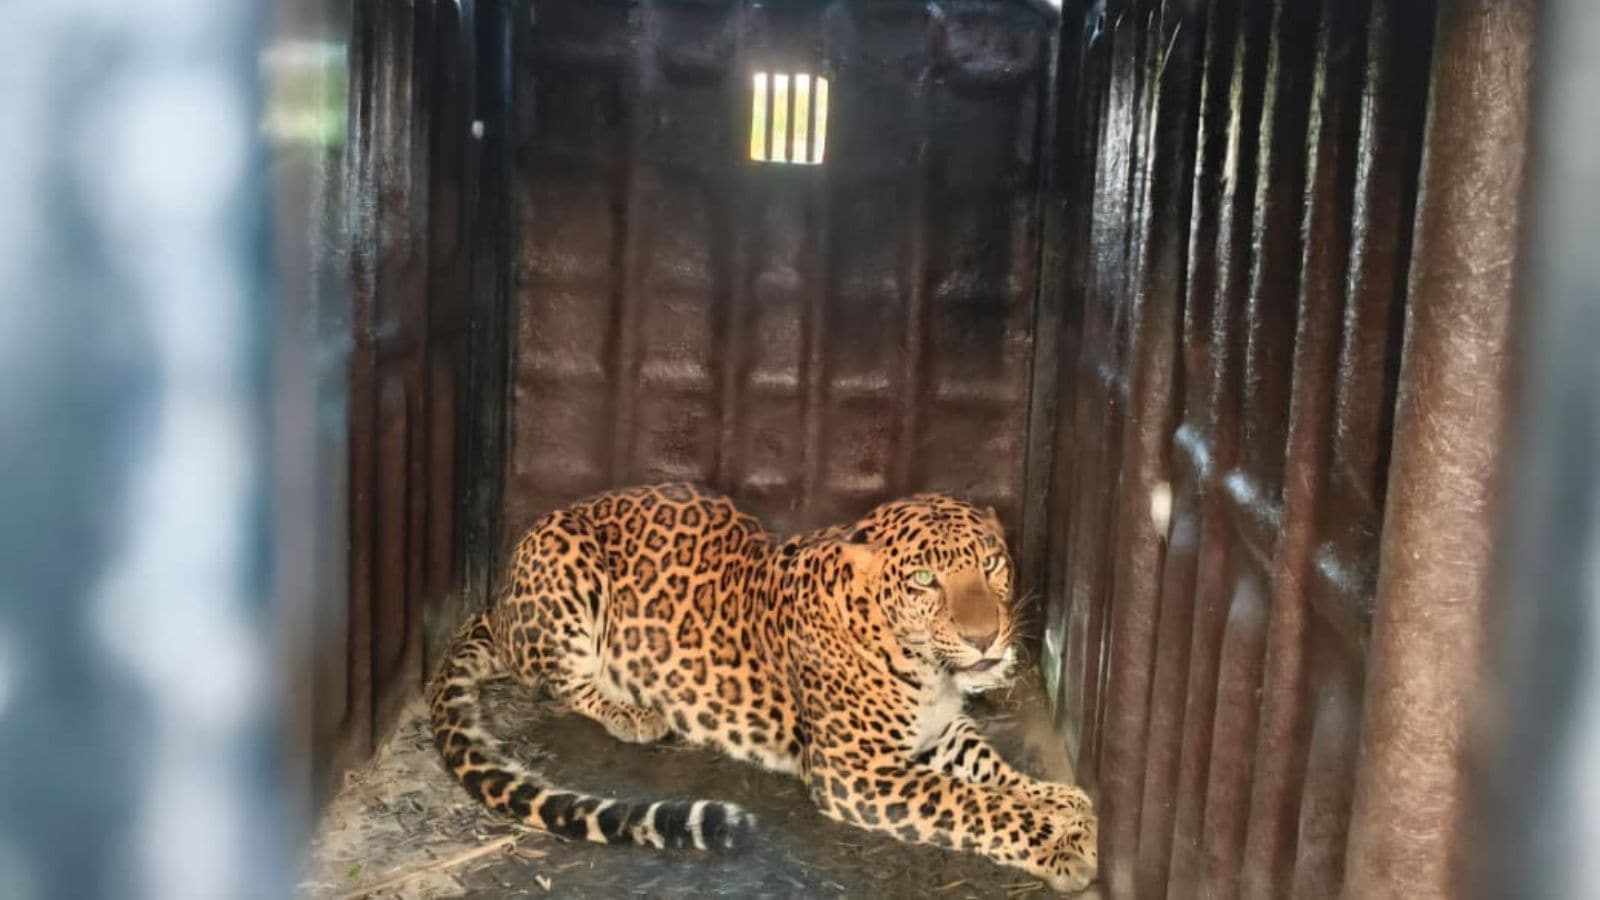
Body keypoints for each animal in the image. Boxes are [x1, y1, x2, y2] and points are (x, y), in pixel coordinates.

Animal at [428, 482, 1098, 892]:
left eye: (990, 563)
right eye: (925, 580)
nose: (986, 639)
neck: (925, 667)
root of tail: (496, 603)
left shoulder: (940, 731)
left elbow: (995, 770)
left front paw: (1064, 802)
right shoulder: (855, 771)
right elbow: (972, 801)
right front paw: (1058, 843)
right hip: (565, 560)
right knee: (556, 679)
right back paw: (631, 711)